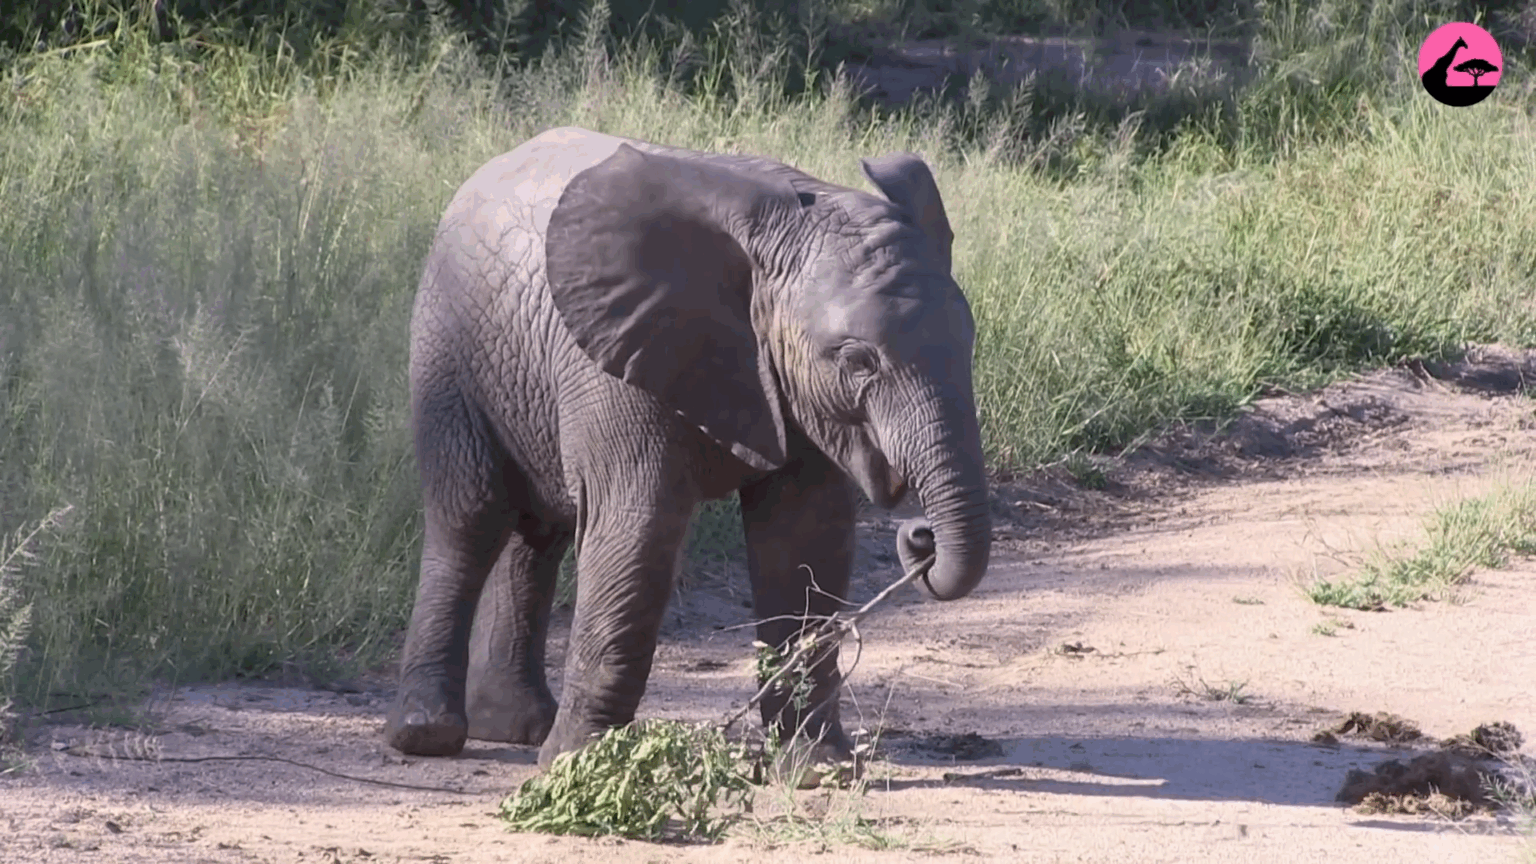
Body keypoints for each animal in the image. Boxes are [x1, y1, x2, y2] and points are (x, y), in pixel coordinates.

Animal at [383, 125, 992, 779]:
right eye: (858, 361)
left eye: (969, 339)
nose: (919, 537)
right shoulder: (620, 356)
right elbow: (640, 528)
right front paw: (582, 770)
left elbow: (805, 538)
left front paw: (816, 770)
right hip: (447, 348)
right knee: (469, 519)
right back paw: (429, 734)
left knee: (538, 533)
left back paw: (518, 728)